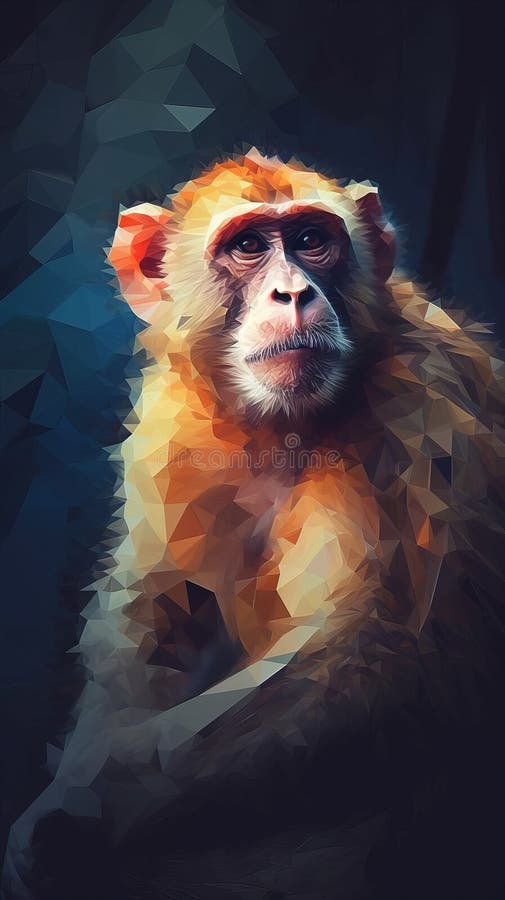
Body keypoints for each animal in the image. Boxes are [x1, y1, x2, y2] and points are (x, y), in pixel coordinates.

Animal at [3, 148, 505, 900]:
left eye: (311, 240)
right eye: (247, 247)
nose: (292, 294)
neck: (286, 428)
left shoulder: (427, 408)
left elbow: (383, 654)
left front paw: (86, 812)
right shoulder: (174, 420)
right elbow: (161, 608)